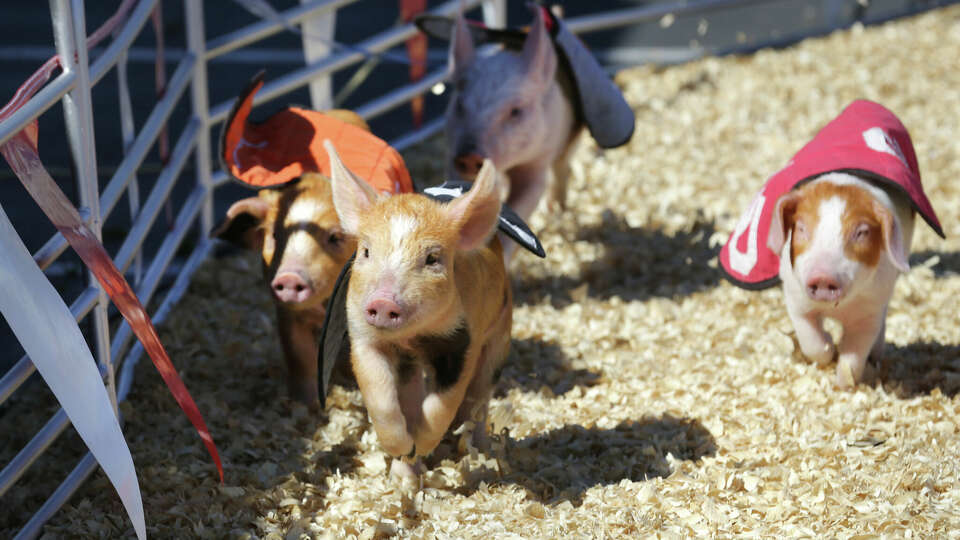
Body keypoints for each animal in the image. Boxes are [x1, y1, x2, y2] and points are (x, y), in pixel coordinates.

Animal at [212, 111, 368, 405]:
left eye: (334, 237)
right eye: (275, 234)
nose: (290, 276)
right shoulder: (286, 312)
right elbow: (298, 356)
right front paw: (304, 405)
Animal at [324, 139, 511, 481]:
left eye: (432, 259)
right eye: (366, 251)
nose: (383, 301)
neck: (414, 338)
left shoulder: (462, 343)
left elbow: (441, 404)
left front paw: (422, 444)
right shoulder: (364, 338)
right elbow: (380, 398)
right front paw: (403, 447)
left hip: (501, 335)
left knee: (480, 398)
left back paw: (478, 451)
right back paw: (406, 476)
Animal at [445, 8, 582, 254]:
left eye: (516, 111)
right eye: (459, 104)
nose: (469, 155)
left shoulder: (539, 159)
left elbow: (528, 195)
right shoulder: (453, 154)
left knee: (562, 166)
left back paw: (557, 208)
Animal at [768, 172, 915, 388]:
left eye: (861, 232)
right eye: (801, 228)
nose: (822, 276)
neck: (837, 309)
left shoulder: (870, 311)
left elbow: (854, 356)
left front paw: (845, 384)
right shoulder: (796, 299)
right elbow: (812, 342)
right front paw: (830, 348)